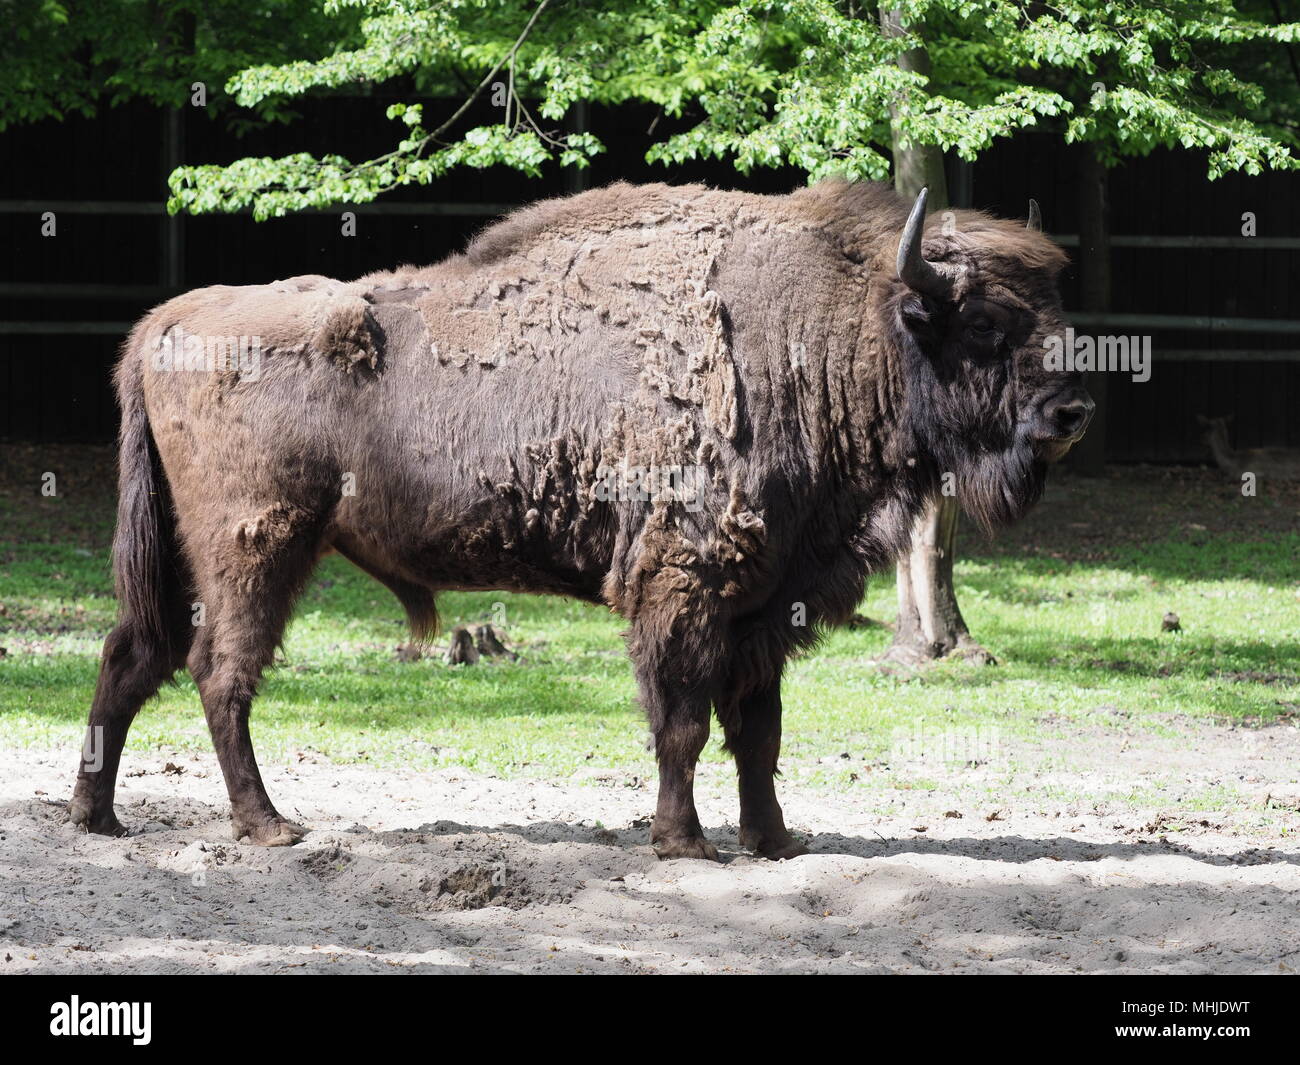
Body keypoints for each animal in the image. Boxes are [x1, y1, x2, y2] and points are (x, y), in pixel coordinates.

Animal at [70, 181, 1091, 860]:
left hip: (182, 553)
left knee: (134, 654)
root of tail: (163, 323)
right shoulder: (685, 588)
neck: (827, 332)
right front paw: (684, 842)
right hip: (260, 546)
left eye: (1053, 312)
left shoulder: (767, 600)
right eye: (985, 324)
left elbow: (758, 729)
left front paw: (775, 841)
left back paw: (98, 815)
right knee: (220, 673)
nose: (1071, 413)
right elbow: (683, 720)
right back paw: (270, 825)